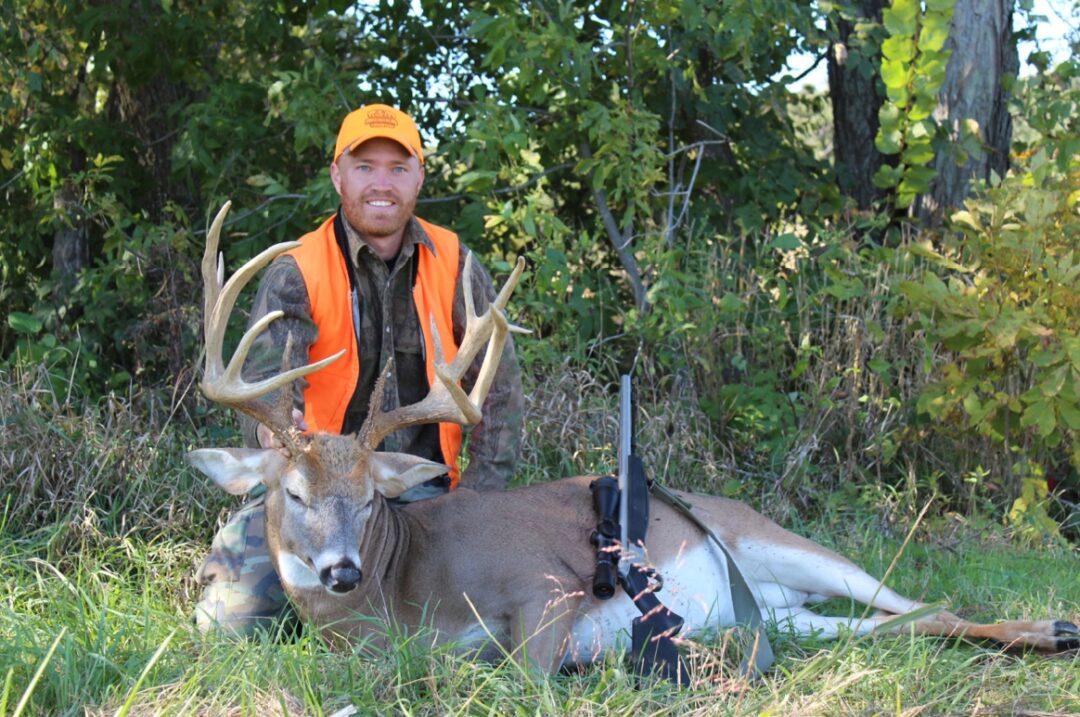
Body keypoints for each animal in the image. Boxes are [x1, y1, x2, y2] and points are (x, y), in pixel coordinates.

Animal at [187, 202, 1078, 677]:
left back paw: (1051, 628)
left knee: (924, 601)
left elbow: (523, 673)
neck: (396, 599)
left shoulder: (541, 584)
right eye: (292, 490)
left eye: (372, 497)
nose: (340, 569)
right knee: (888, 623)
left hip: (781, 543)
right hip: (784, 613)